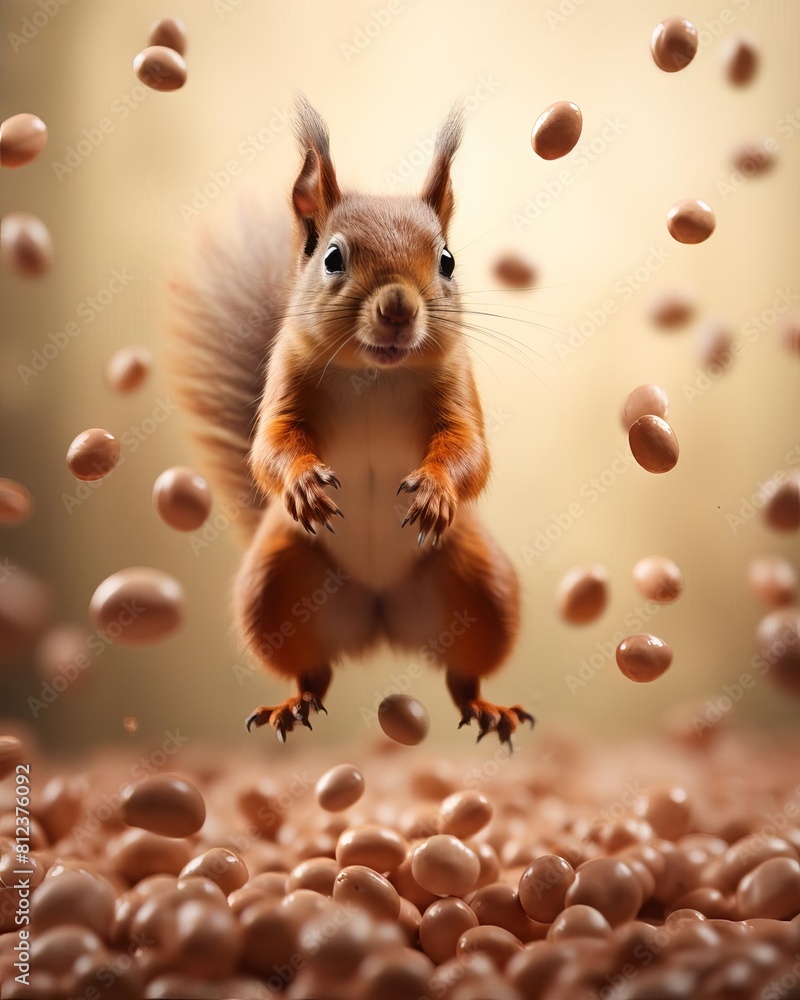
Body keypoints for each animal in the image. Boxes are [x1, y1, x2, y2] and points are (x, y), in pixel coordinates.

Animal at [168, 96, 532, 745]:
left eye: (447, 259)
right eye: (333, 257)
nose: (398, 308)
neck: (375, 375)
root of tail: (380, 617)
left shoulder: (459, 389)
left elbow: (471, 451)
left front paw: (435, 491)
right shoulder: (285, 382)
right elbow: (269, 448)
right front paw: (304, 486)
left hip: (483, 585)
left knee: (463, 674)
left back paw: (486, 707)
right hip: (273, 585)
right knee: (313, 670)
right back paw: (294, 703)